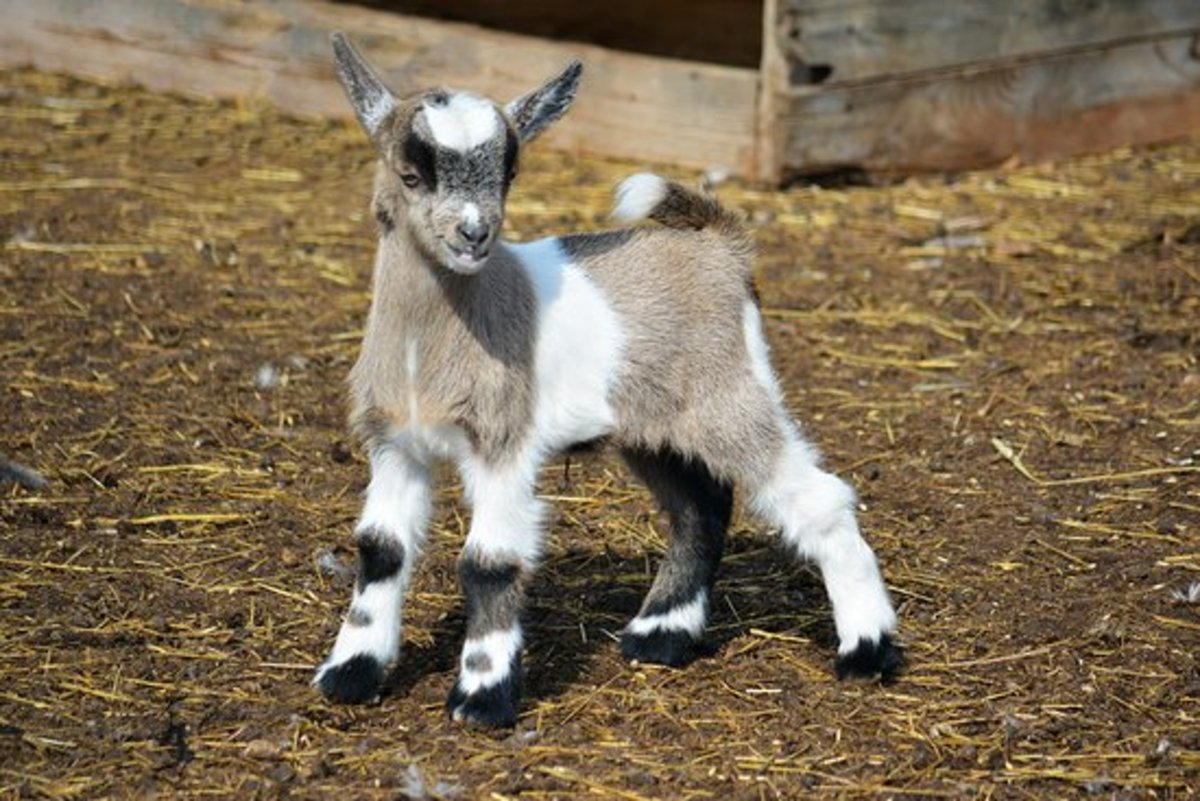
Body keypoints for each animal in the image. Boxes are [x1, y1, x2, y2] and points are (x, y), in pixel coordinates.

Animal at [314, 33, 902, 726]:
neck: (424, 348)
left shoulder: (502, 443)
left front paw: (483, 698)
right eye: (410, 173)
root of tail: (723, 246)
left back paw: (867, 649)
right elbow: (381, 549)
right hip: (653, 426)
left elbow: (488, 564)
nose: (474, 234)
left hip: (731, 394)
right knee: (700, 509)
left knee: (818, 498)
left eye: (509, 174)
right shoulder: (394, 441)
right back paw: (661, 635)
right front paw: (349, 673)